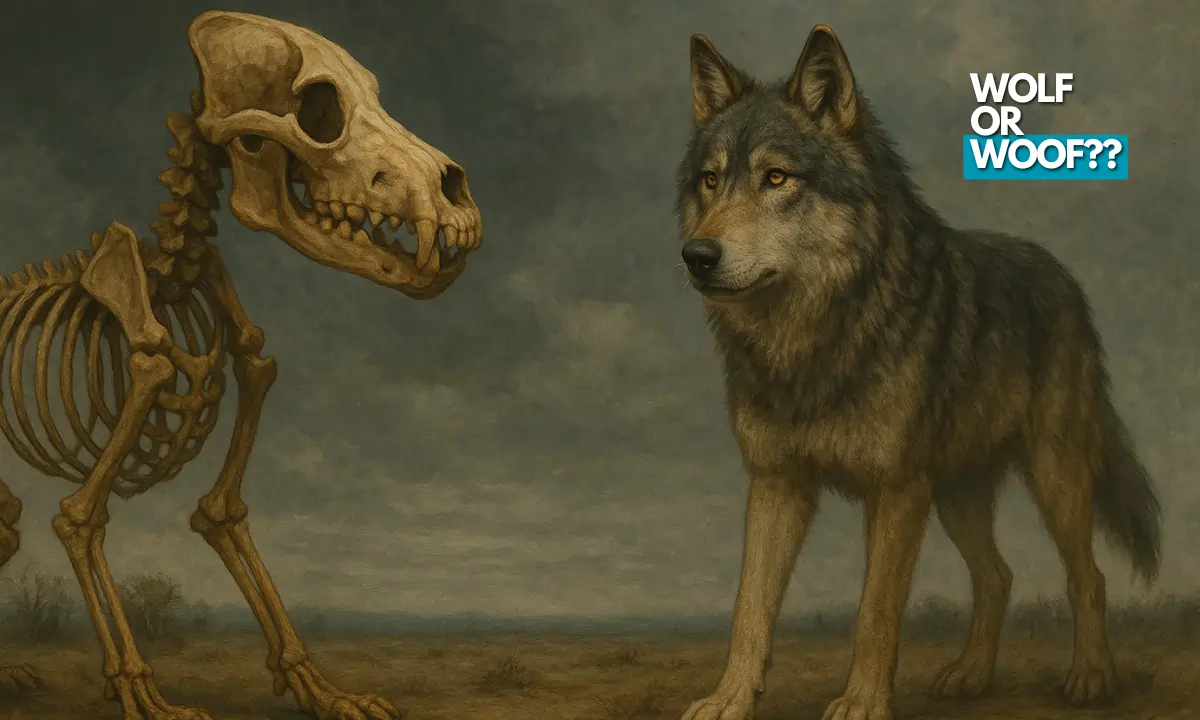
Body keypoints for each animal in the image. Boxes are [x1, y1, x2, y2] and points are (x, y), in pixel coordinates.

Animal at [674, 24, 1162, 720]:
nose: (697, 256)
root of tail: (1059, 272)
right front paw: (731, 699)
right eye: (711, 181)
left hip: (1053, 476)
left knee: (1086, 575)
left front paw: (861, 703)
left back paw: (1092, 675)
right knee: (997, 576)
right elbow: (749, 609)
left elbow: (875, 613)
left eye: (776, 177)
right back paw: (971, 676)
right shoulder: (776, 483)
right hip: (955, 492)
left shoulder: (896, 491)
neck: (815, 339)